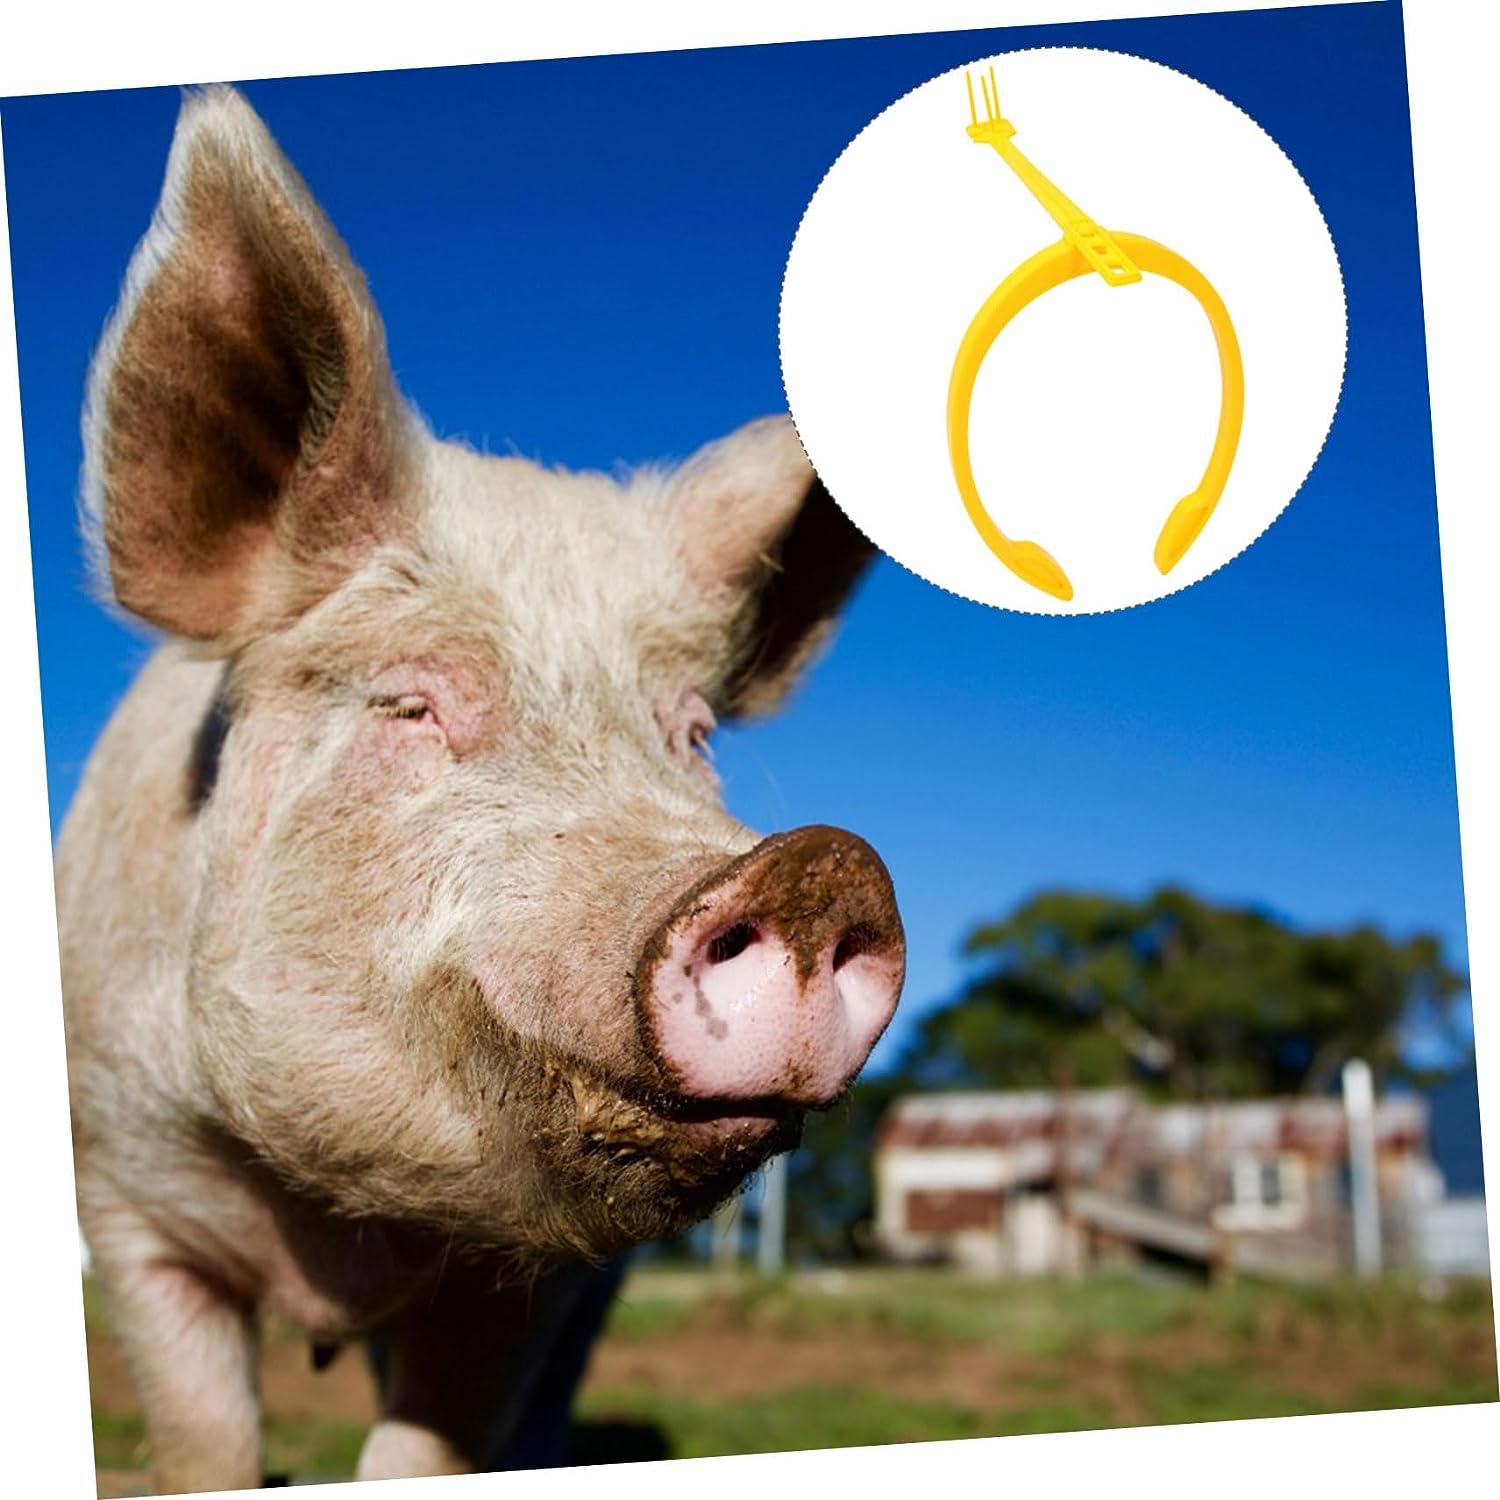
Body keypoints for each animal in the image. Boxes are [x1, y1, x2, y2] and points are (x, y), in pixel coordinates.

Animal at [53, 84, 904, 1493]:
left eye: (691, 734)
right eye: (413, 704)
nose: (819, 864)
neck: (331, 1235)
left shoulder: (537, 1289)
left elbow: (437, 1445)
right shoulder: (125, 1200)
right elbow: (205, 1439)